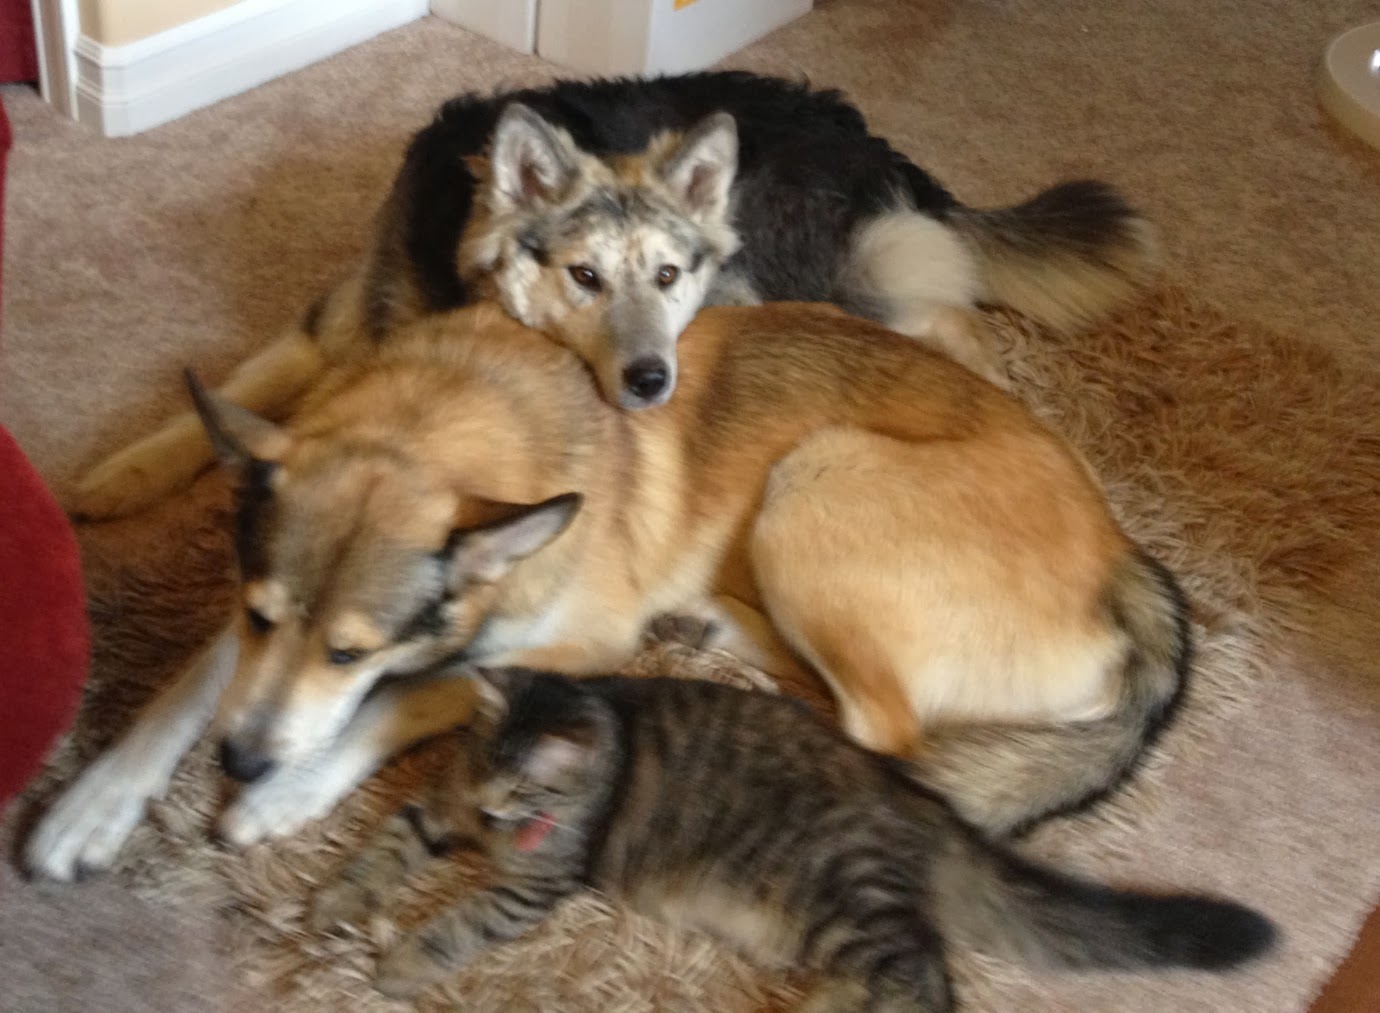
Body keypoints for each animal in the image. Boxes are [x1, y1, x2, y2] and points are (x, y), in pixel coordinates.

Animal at [27, 300, 1188, 882]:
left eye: (352, 651)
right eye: (263, 615)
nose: (241, 762)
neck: (435, 413)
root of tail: (1126, 559)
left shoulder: (564, 638)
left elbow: (417, 692)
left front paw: (286, 793)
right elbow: (189, 687)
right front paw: (95, 802)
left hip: (820, 477)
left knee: (884, 731)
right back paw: (708, 621)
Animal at [69, 71, 1158, 520]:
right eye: (580, 278)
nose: (644, 381)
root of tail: (863, 134)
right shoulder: (329, 326)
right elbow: (214, 393)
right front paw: (115, 478)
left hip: (790, 271)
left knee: (951, 316)